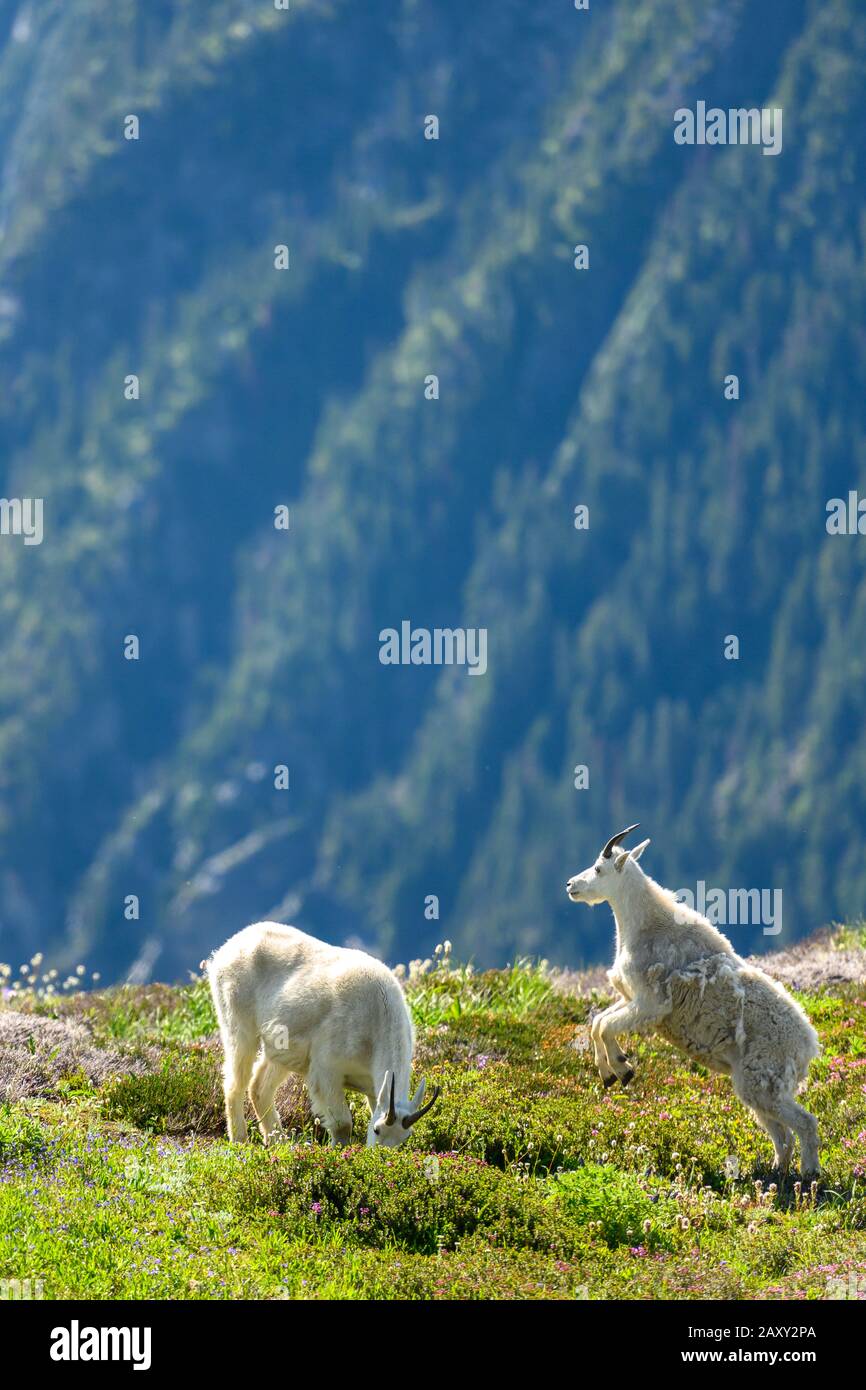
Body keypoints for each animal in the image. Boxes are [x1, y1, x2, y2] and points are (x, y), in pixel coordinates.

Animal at [203, 922, 439, 1147]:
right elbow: (343, 1123)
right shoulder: (327, 1069)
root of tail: (225, 950)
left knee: (259, 1087)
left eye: (405, 1137)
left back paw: (279, 1142)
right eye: (377, 1130)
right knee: (235, 1081)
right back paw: (239, 1139)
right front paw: (338, 1151)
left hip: (283, 1048)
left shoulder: (374, 1087)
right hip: (237, 1022)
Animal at [565, 825, 821, 1174]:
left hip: (764, 1079)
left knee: (805, 1123)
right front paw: (609, 1074)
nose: (570, 886)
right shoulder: (632, 998)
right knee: (782, 1136)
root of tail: (809, 1046)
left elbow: (605, 1026)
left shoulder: (652, 1003)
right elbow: (598, 1023)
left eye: (599, 869)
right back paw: (775, 1174)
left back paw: (809, 1174)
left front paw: (623, 1069)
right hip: (757, 1086)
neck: (643, 925)